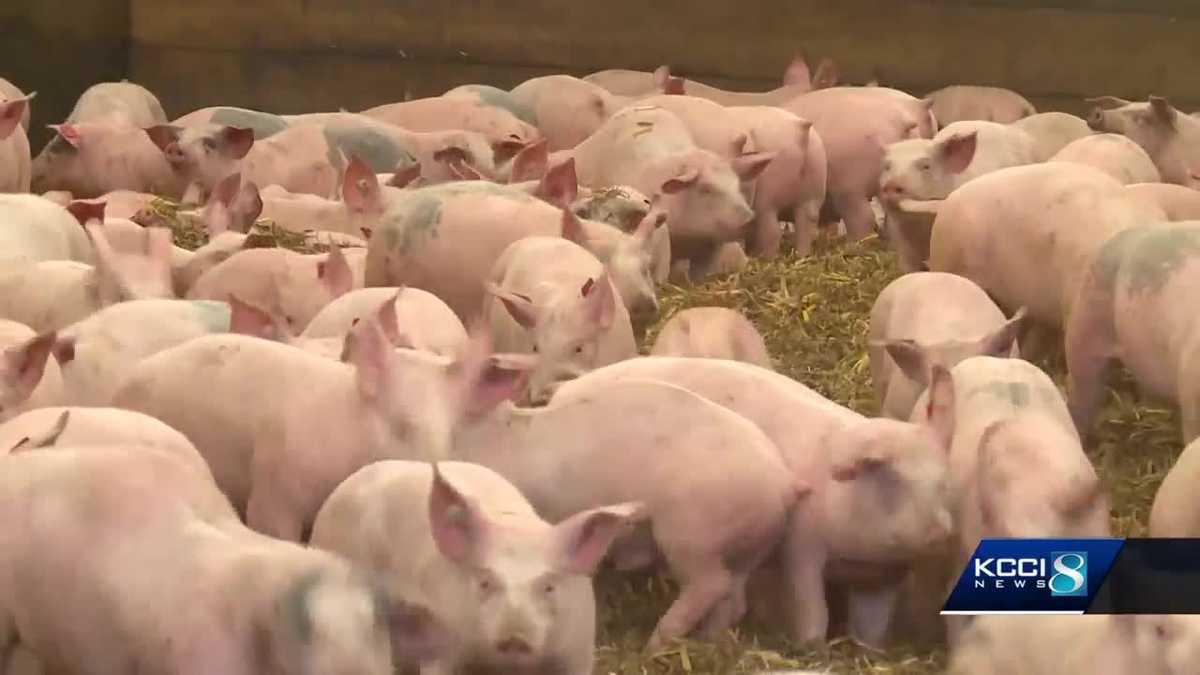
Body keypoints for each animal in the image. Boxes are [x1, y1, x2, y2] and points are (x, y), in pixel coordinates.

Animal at [451, 375, 803, 651]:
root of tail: (784, 483)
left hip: (689, 535)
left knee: (710, 585)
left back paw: (653, 647)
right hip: (750, 548)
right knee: (733, 599)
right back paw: (706, 641)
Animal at [550, 357, 959, 647]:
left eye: (942, 480)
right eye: (892, 478)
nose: (942, 533)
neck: (862, 556)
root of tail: (562, 392)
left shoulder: (885, 579)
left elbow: (872, 633)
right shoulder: (801, 544)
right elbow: (812, 612)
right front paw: (811, 649)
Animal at [729, 106, 827, 257]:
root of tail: (799, 129)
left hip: (768, 197)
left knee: (772, 231)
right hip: (814, 188)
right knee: (808, 224)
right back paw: (801, 256)